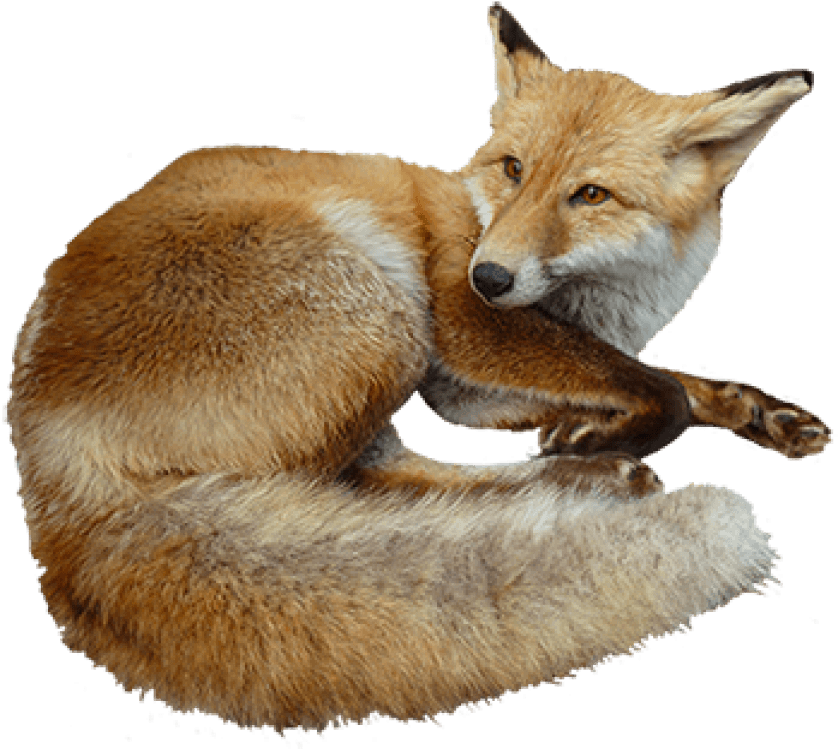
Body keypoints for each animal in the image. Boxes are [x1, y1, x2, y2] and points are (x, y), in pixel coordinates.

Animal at [5, 1, 830, 736]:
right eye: (514, 169)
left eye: (590, 194)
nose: (487, 275)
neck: (604, 299)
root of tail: (40, 435)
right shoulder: (467, 334)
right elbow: (662, 391)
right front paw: (598, 435)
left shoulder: (466, 388)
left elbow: (668, 381)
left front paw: (755, 412)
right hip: (384, 319)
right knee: (354, 484)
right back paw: (597, 474)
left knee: (393, 477)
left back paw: (582, 472)